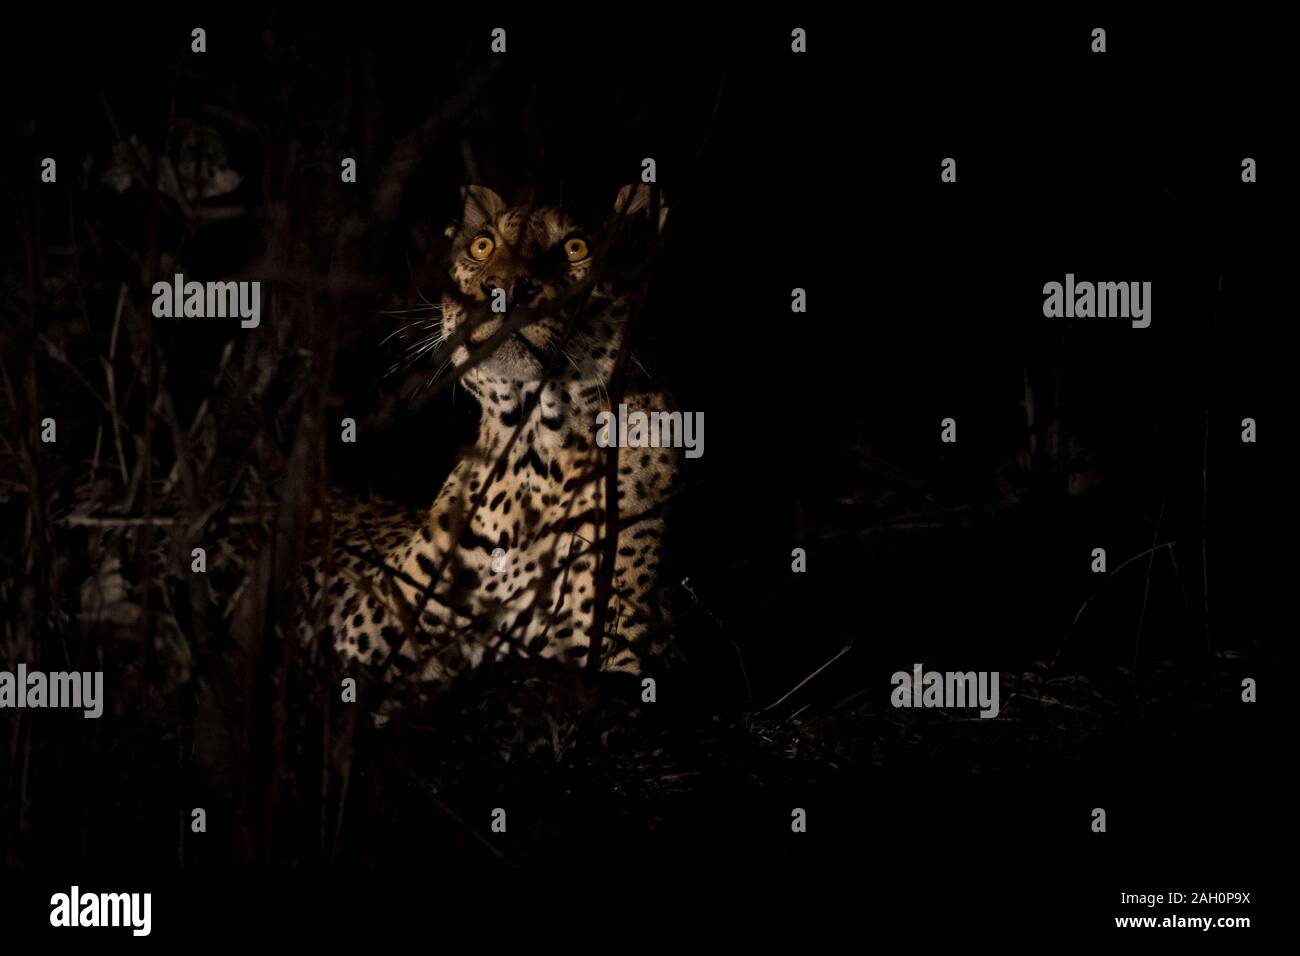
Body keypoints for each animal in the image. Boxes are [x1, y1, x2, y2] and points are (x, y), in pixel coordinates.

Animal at [298, 183, 679, 688]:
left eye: (576, 248)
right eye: (482, 246)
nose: (502, 290)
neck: (531, 454)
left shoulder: (623, 663)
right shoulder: (362, 645)